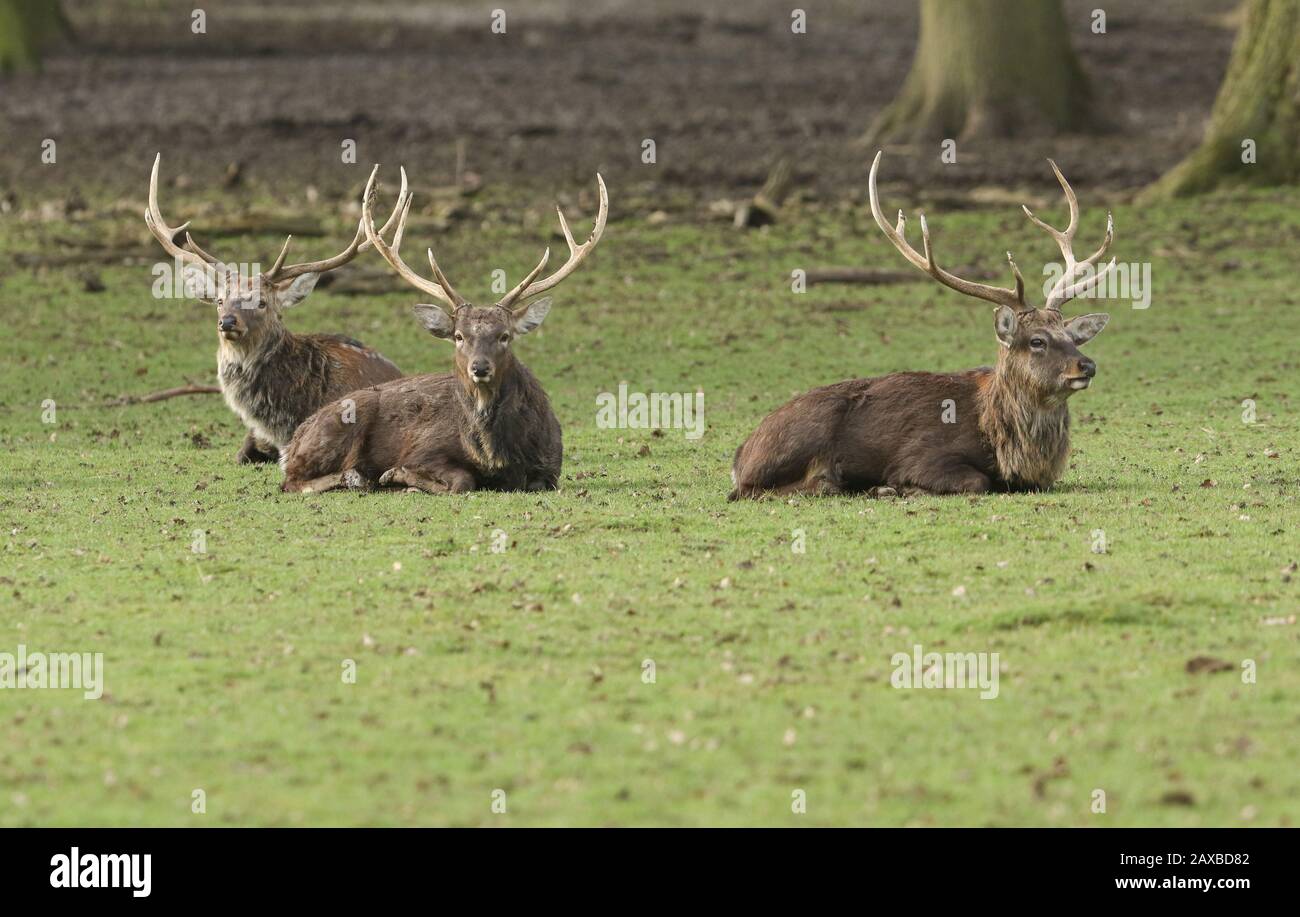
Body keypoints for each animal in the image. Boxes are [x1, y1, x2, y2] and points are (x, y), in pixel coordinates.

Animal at [279, 167, 608, 494]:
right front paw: (399, 476)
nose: (480, 367)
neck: (496, 458)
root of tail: (292, 441)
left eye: (504, 336)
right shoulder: (424, 449)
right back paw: (357, 477)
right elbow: (462, 480)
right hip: (340, 423)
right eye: (459, 336)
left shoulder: (550, 467)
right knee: (291, 481)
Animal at [729, 151, 1115, 500]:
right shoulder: (921, 455)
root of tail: (741, 454)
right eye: (1037, 341)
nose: (1087, 365)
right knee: (750, 491)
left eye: (1072, 337)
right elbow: (976, 481)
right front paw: (898, 487)